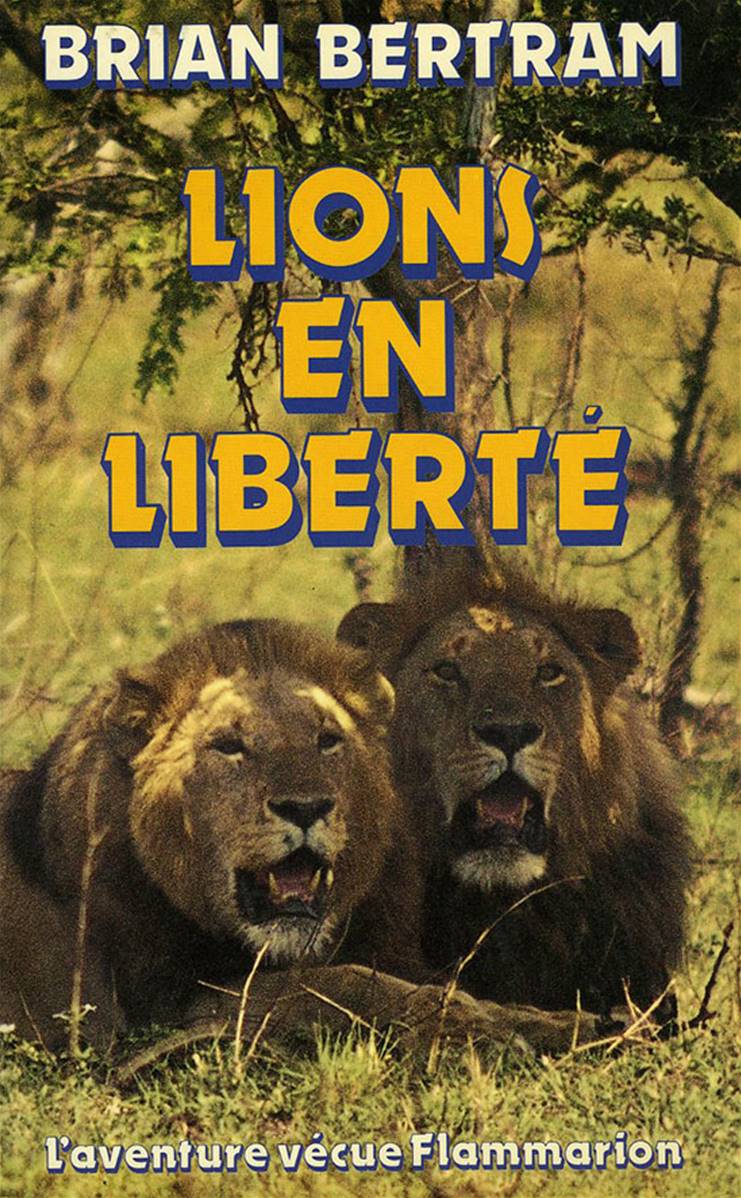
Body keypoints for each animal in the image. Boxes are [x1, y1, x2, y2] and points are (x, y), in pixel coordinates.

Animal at [1, 617, 606, 1058]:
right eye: (229, 747)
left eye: (327, 740)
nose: (305, 807)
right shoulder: (162, 1006)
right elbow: (337, 985)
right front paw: (480, 1030)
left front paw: (556, 1021)